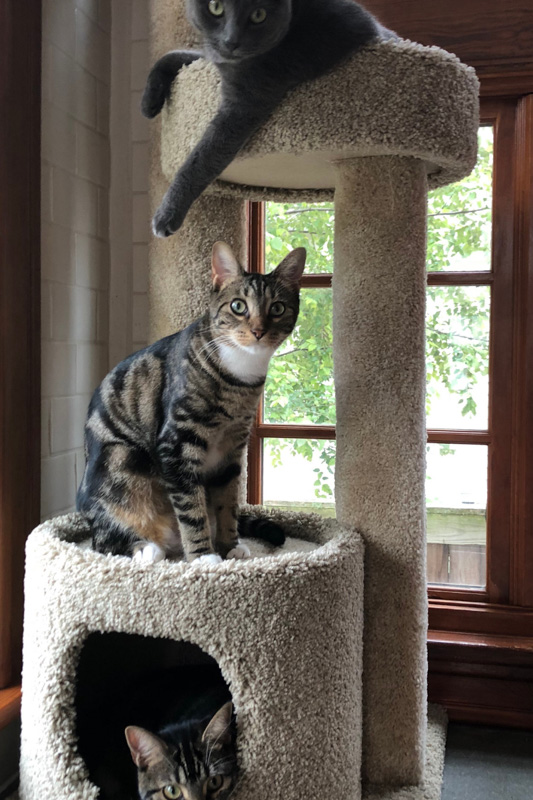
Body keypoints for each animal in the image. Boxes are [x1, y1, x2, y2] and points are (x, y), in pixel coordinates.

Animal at [142, 0, 394, 236]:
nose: (231, 40)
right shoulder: (211, 59)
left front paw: (166, 215)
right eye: (215, 7)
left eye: (258, 14)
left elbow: (202, 158)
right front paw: (147, 103)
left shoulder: (245, 103)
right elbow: (173, 55)